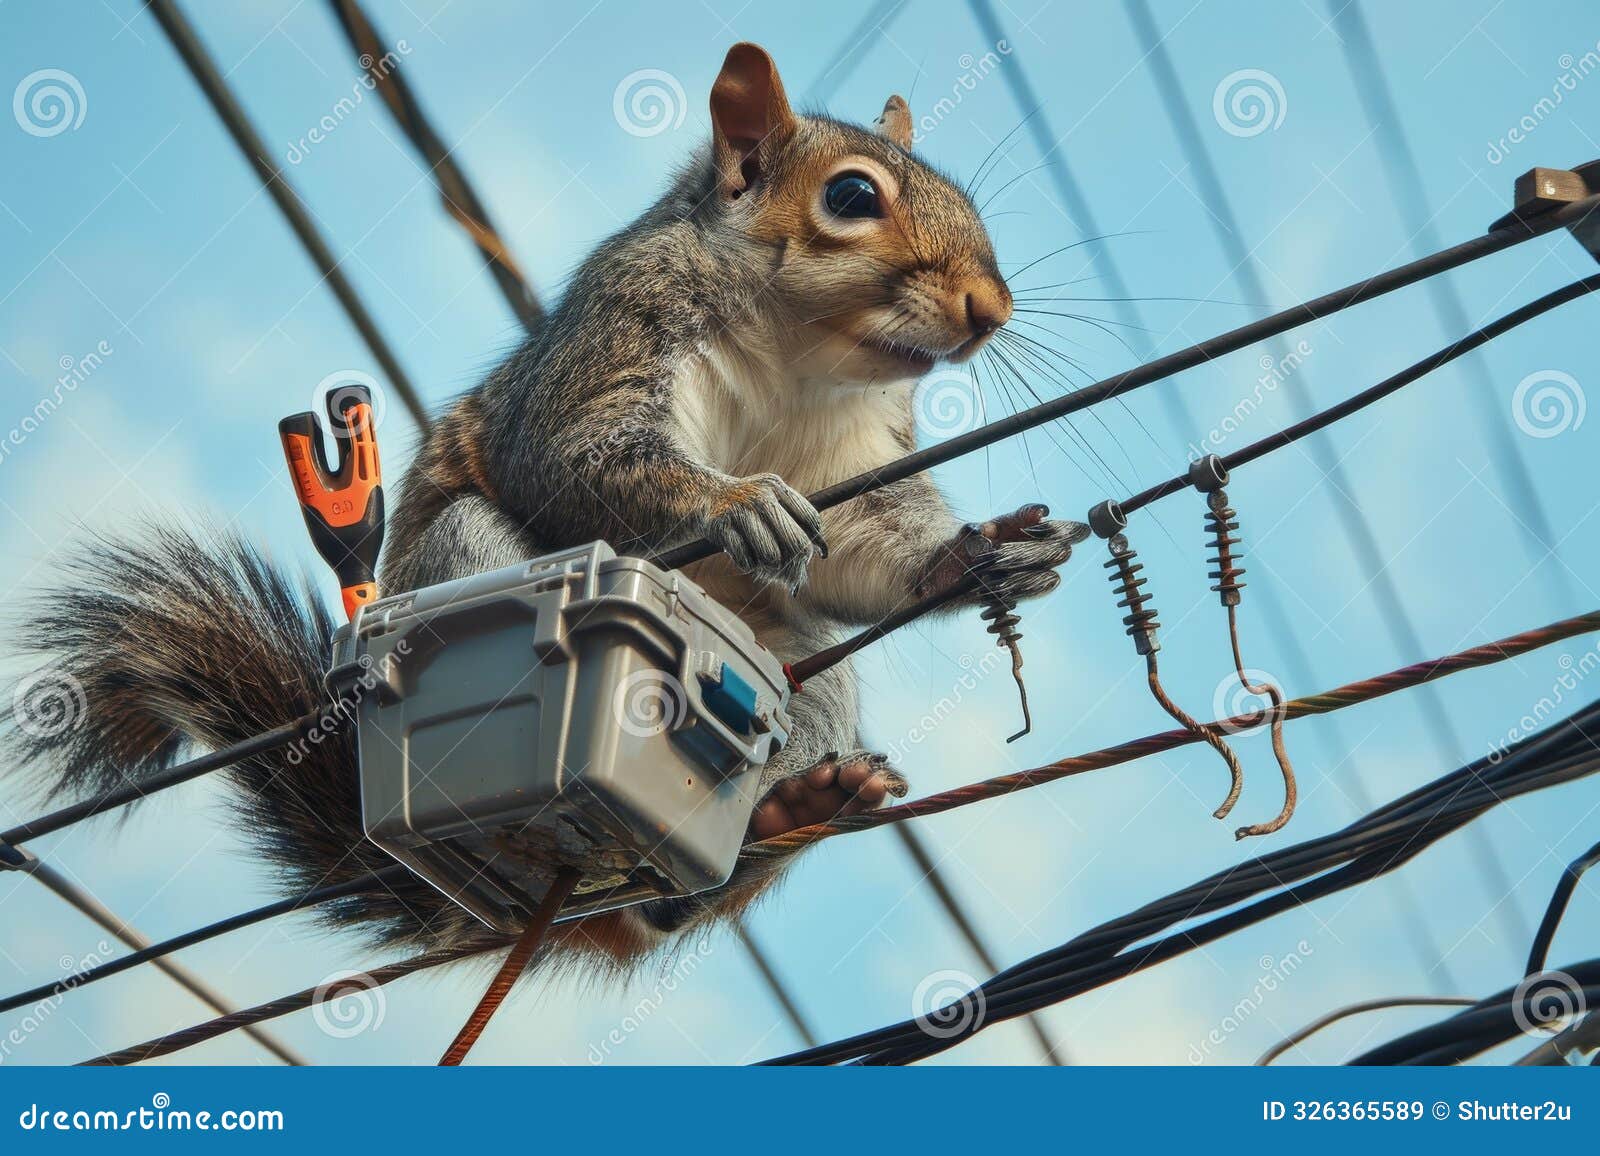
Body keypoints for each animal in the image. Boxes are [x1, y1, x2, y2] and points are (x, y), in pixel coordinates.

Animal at [4, 44, 1087, 973]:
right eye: (853, 195)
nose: (990, 310)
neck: (798, 353)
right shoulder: (618, 327)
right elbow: (574, 455)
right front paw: (735, 501)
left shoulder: (861, 451)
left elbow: (866, 544)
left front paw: (981, 553)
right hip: (466, 565)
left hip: (795, 680)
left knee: (692, 871)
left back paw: (789, 811)